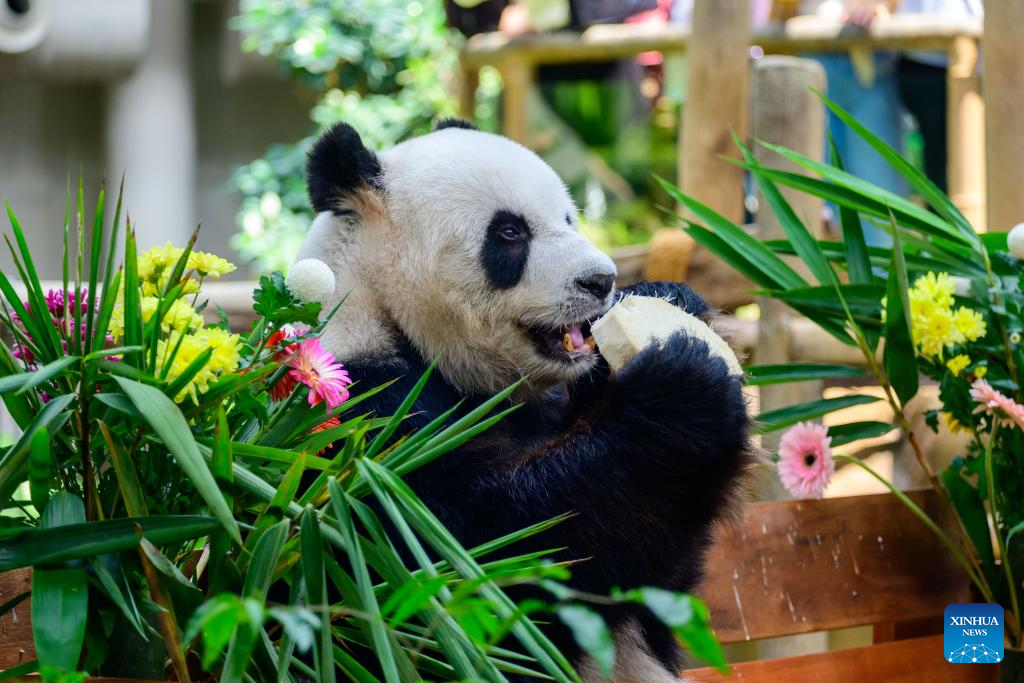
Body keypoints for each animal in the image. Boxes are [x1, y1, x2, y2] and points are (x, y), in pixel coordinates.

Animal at [297, 118, 753, 682]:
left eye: (569, 217)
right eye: (510, 233)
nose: (602, 280)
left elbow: (659, 576)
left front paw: (671, 301)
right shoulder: (357, 420)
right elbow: (484, 562)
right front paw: (680, 392)